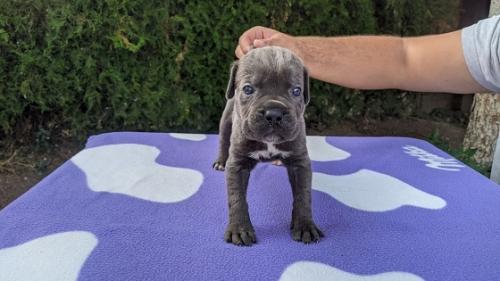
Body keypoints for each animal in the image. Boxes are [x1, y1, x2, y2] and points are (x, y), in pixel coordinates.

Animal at [212, 46, 324, 245]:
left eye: (296, 91)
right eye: (248, 89)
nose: (274, 113)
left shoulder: (300, 163)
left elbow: (303, 196)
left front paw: (305, 225)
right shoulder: (237, 165)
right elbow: (237, 198)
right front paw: (240, 229)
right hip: (226, 120)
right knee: (223, 139)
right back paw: (220, 161)